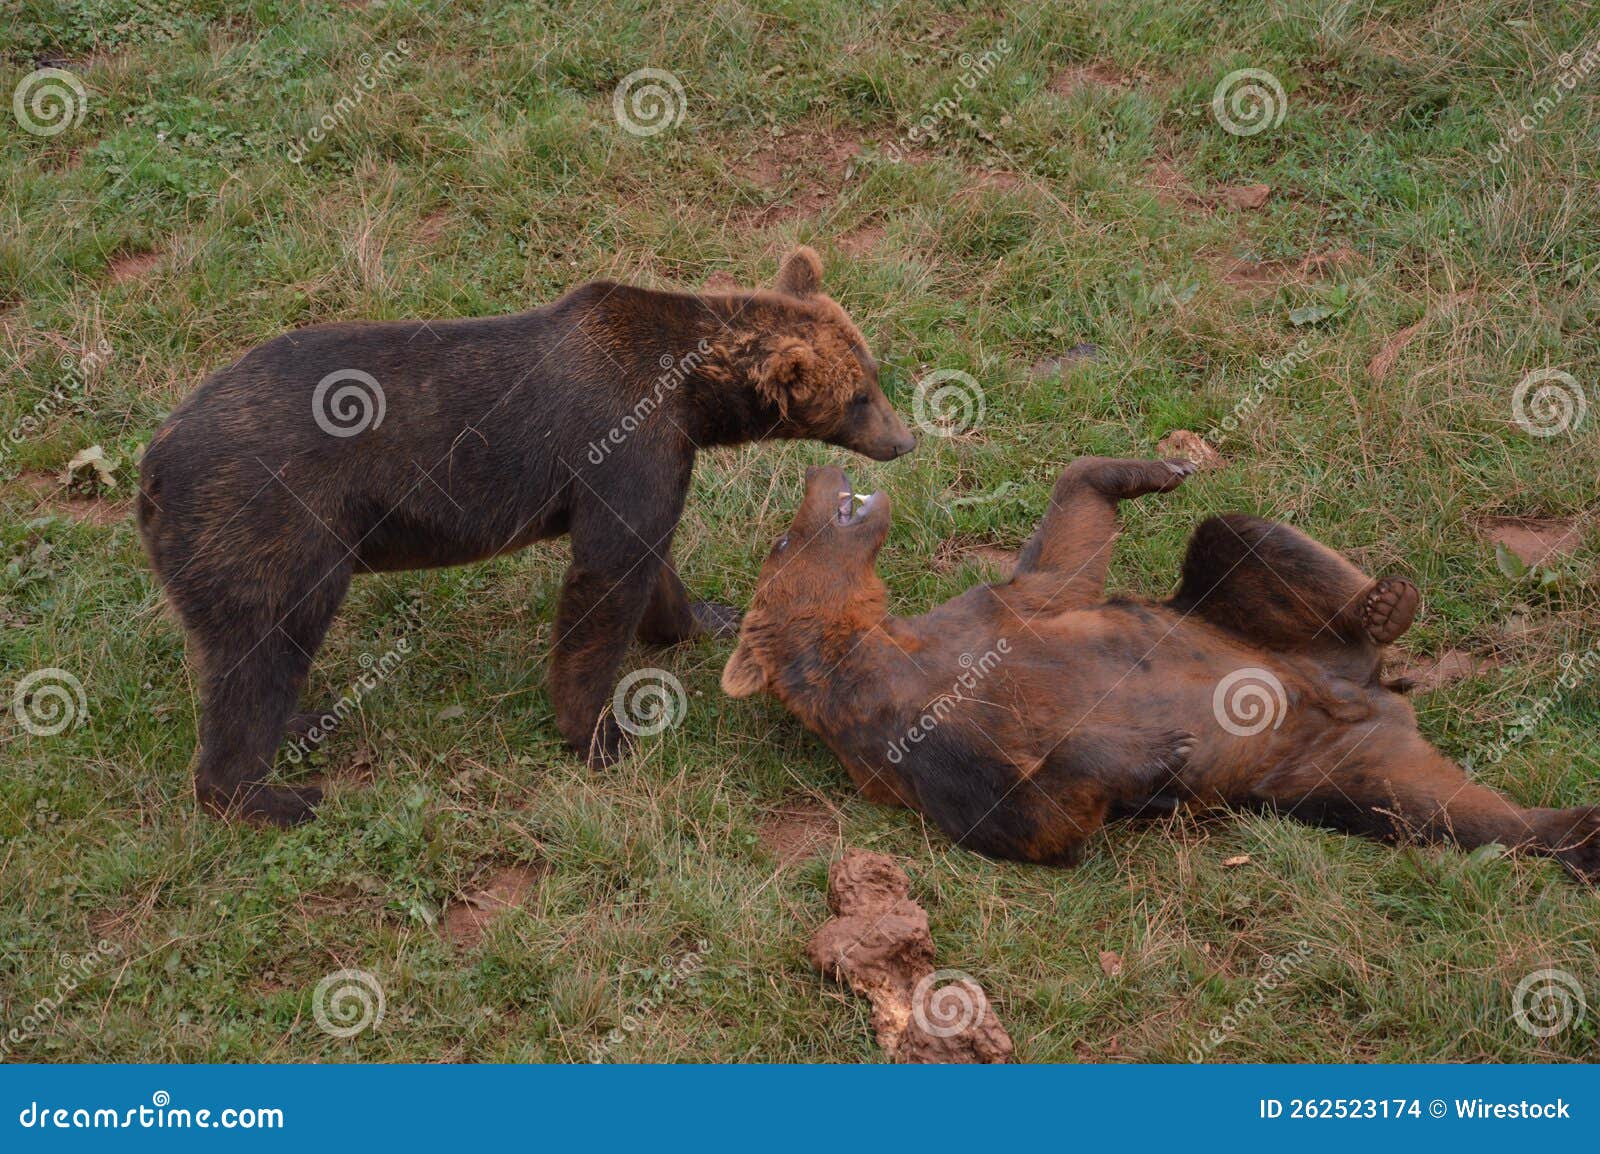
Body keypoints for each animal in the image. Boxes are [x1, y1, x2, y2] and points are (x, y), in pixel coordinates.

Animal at [137, 247, 916, 826]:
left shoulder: (658, 459)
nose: (904, 439)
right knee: (263, 646)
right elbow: (605, 580)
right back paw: (271, 795)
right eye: (859, 397)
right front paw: (602, 734)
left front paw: (701, 618)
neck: (692, 400)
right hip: (271, 519)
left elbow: (651, 557)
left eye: (873, 373)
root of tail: (152, 465)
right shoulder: (621, 441)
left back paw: (300, 723)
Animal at [720, 457, 1600, 880]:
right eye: (783, 540)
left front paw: (1147, 468)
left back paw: (1382, 606)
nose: (816, 470)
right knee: (1440, 812)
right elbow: (1032, 817)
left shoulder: (999, 611)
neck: (876, 649)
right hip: (1333, 777)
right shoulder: (917, 748)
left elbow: (1069, 551)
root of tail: (1365, 697)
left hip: (1254, 630)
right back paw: (1570, 832)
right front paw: (1153, 758)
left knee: (1237, 539)